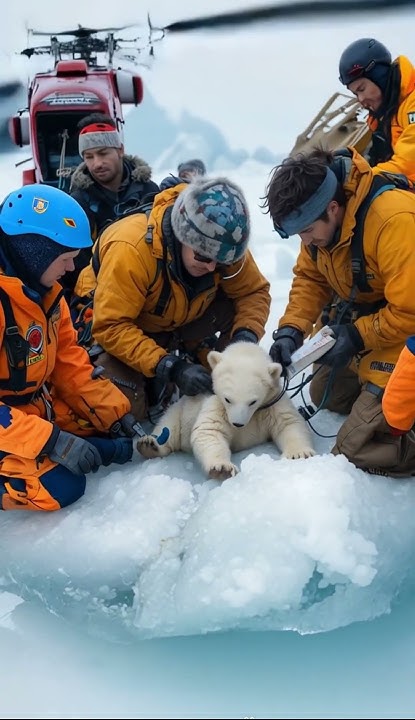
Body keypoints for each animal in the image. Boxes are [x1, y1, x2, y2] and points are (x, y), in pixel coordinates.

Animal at [137, 342, 316, 480]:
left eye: (253, 402)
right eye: (228, 399)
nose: (237, 424)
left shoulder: (271, 402)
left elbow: (288, 423)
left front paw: (299, 454)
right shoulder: (216, 403)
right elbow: (209, 430)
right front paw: (222, 468)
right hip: (181, 411)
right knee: (168, 427)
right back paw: (148, 445)